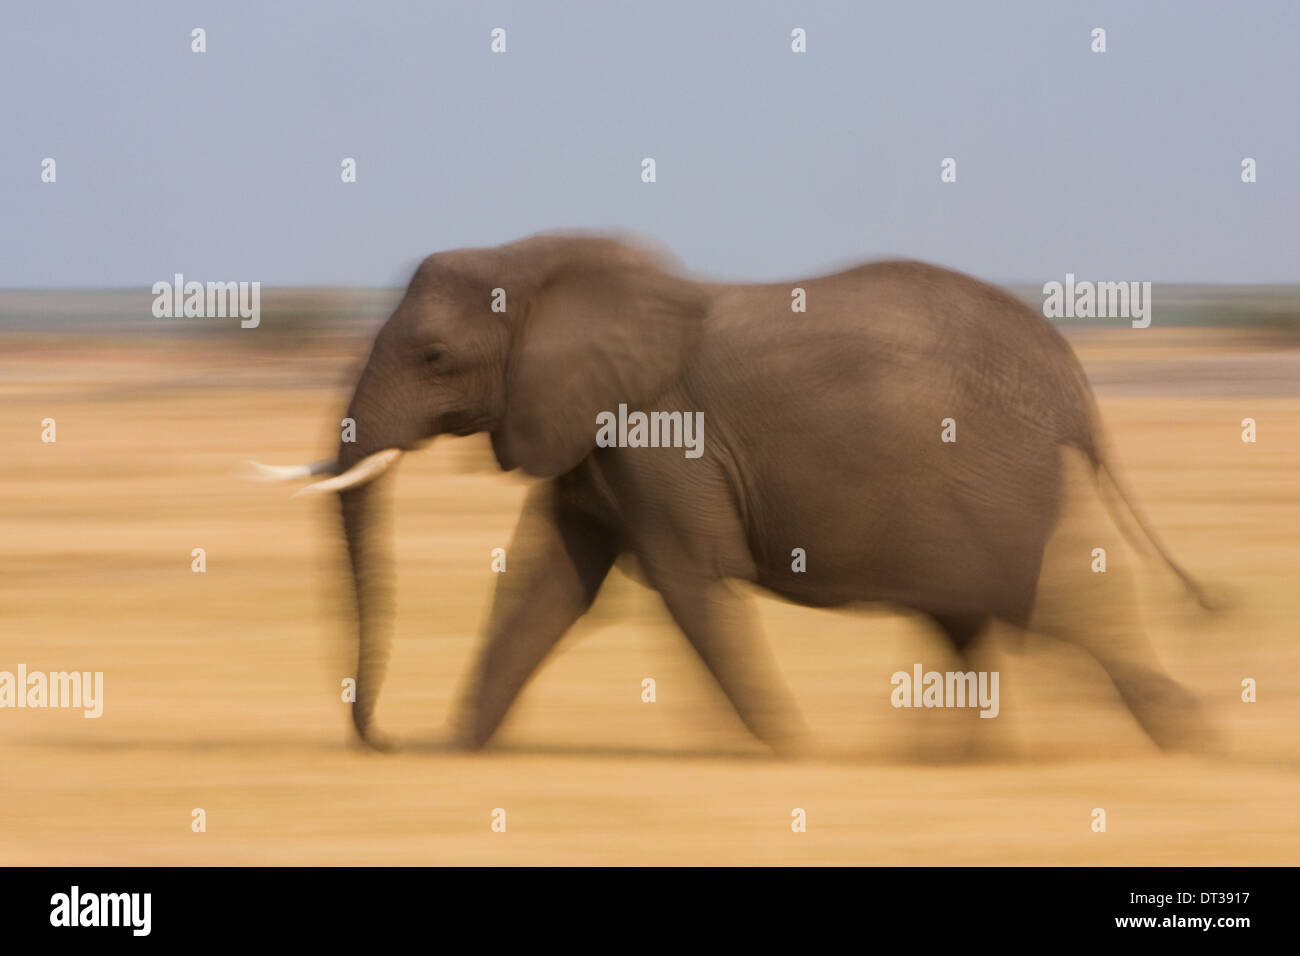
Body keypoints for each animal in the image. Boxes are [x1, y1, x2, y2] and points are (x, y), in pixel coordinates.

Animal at [254, 232, 1213, 755]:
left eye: (434, 358)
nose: (387, 738)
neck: (539, 261)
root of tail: (1072, 380)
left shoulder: (659, 435)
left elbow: (686, 581)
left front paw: (793, 755)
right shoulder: (595, 434)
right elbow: (549, 582)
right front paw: (460, 752)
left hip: (998, 480)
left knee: (1050, 607)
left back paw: (1188, 739)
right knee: (971, 623)